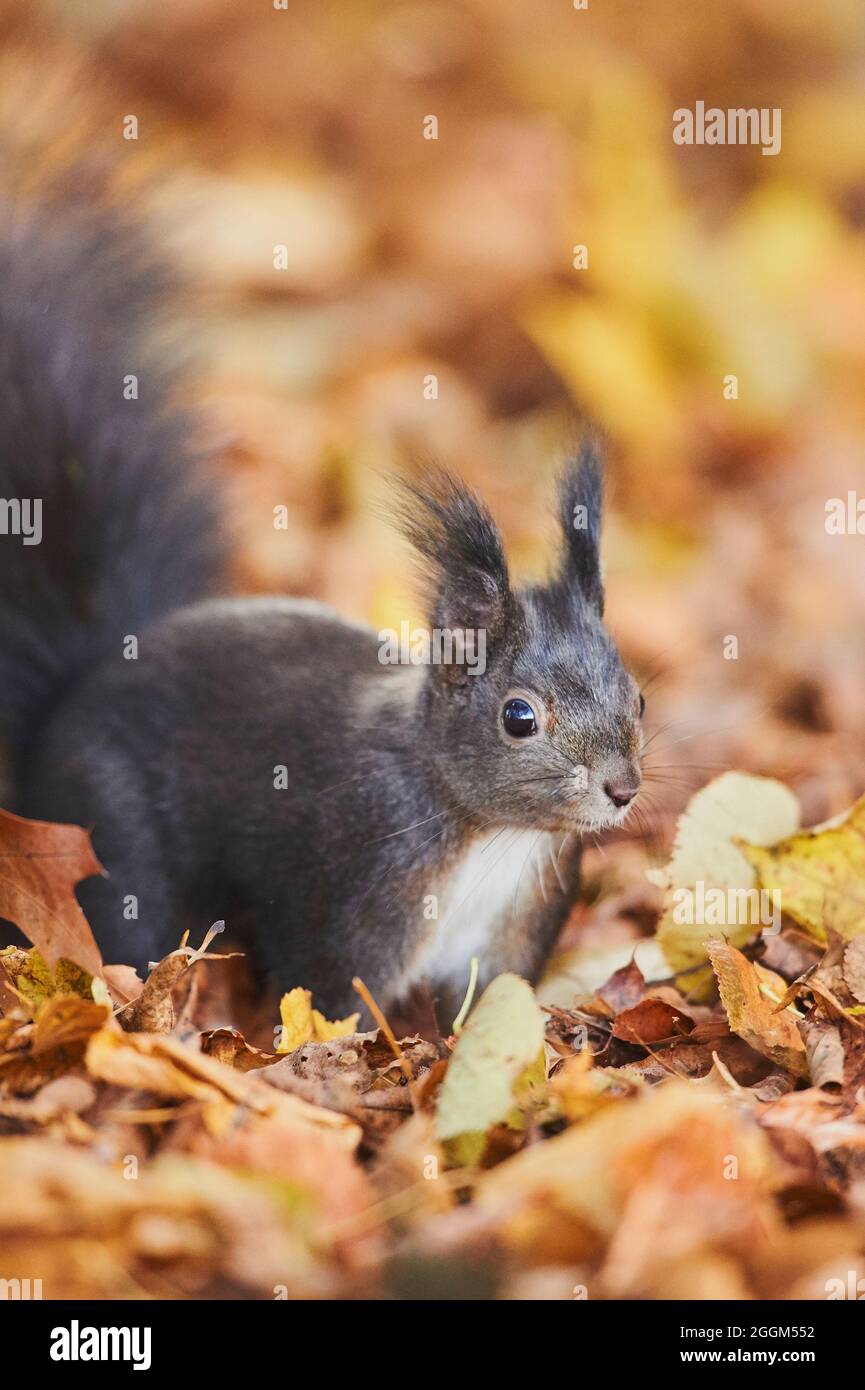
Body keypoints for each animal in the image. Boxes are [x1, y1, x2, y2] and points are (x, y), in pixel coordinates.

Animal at [0, 198, 643, 1026]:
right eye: (519, 717)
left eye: (637, 696)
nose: (622, 788)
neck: (490, 836)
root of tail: (66, 696)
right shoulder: (354, 883)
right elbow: (332, 1000)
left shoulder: (512, 926)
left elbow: (488, 1007)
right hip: (108, 837)